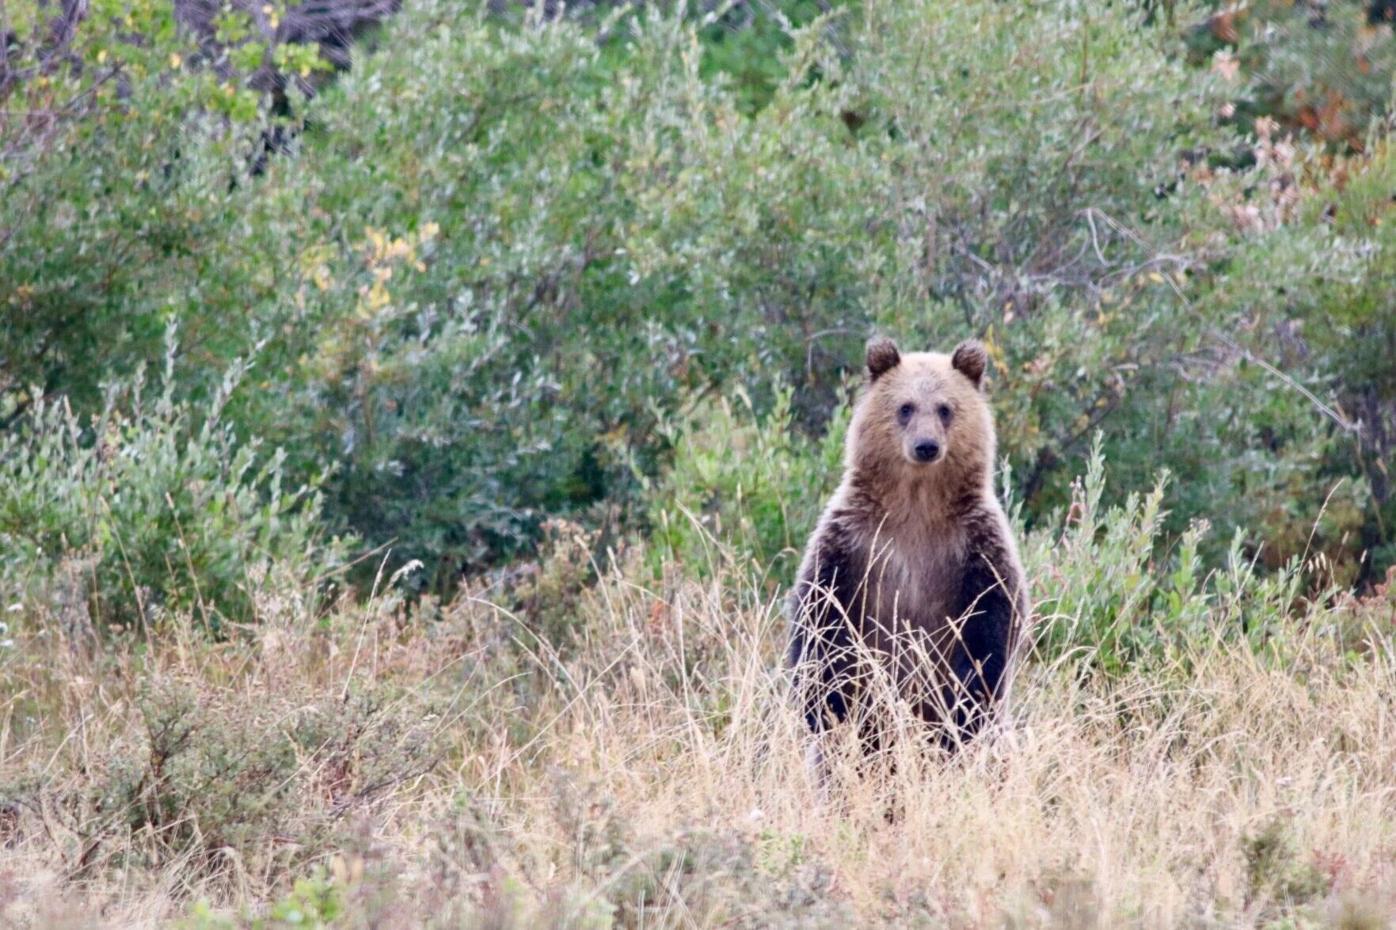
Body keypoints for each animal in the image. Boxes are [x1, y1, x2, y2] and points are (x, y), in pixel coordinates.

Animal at [787, 336, 1028, 761]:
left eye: (945, 408)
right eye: (905, 407)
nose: (926, 446)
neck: (917, 502)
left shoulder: (974, 547)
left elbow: (992, 624)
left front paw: (966, 707)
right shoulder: (853, 542)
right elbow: (821, 615)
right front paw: (824, 704)